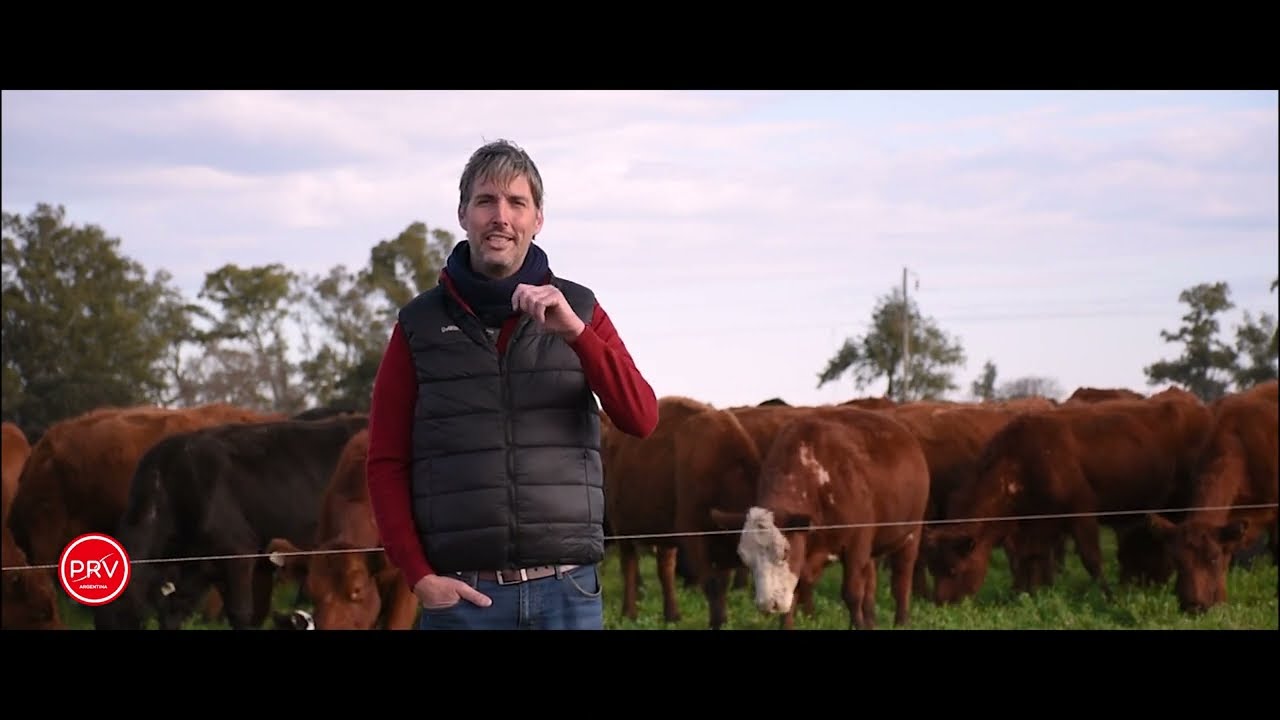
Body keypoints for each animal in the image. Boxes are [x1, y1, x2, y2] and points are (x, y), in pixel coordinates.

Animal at [93, 414, 370, 630]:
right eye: (98, 623)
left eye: (125, 617)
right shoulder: (197, 568)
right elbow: (174, 612)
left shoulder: (238, 553)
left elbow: (241, 613)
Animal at [709, 410, 930, 629]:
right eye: (744, 558)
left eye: (785, 552)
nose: (768, 604)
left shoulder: (856, 546)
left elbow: (852, 593)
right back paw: (870, 620)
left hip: (912, 533)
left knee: (902, 579)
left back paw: (901, 620)